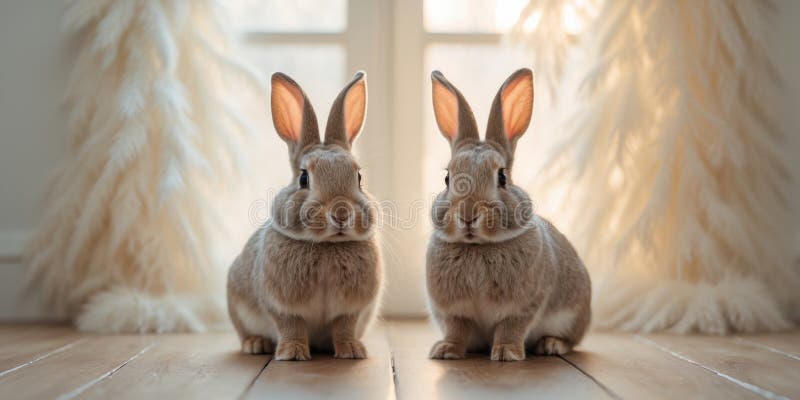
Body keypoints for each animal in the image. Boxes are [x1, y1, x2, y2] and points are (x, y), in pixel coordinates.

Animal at [227, 71, 383, 361]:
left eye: (358, 177)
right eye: (303, 178)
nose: (341, 213)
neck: (327, 246)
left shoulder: (352, 310)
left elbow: (344, 327)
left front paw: (352, 351)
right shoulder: (281, 306)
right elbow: (291, 326)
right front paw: (292, 353)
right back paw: (256, 344)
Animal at [425, 68, 591, 362]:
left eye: (501, 177)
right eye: (447, 178)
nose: (468, 215)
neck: (478, 247)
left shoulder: (522, 308)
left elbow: (510, 328)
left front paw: (506, 353)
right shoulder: (454, 311)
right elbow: (457, 330)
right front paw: (445, 350)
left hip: (573, 314)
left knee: (571, 340)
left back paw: (551, 345)